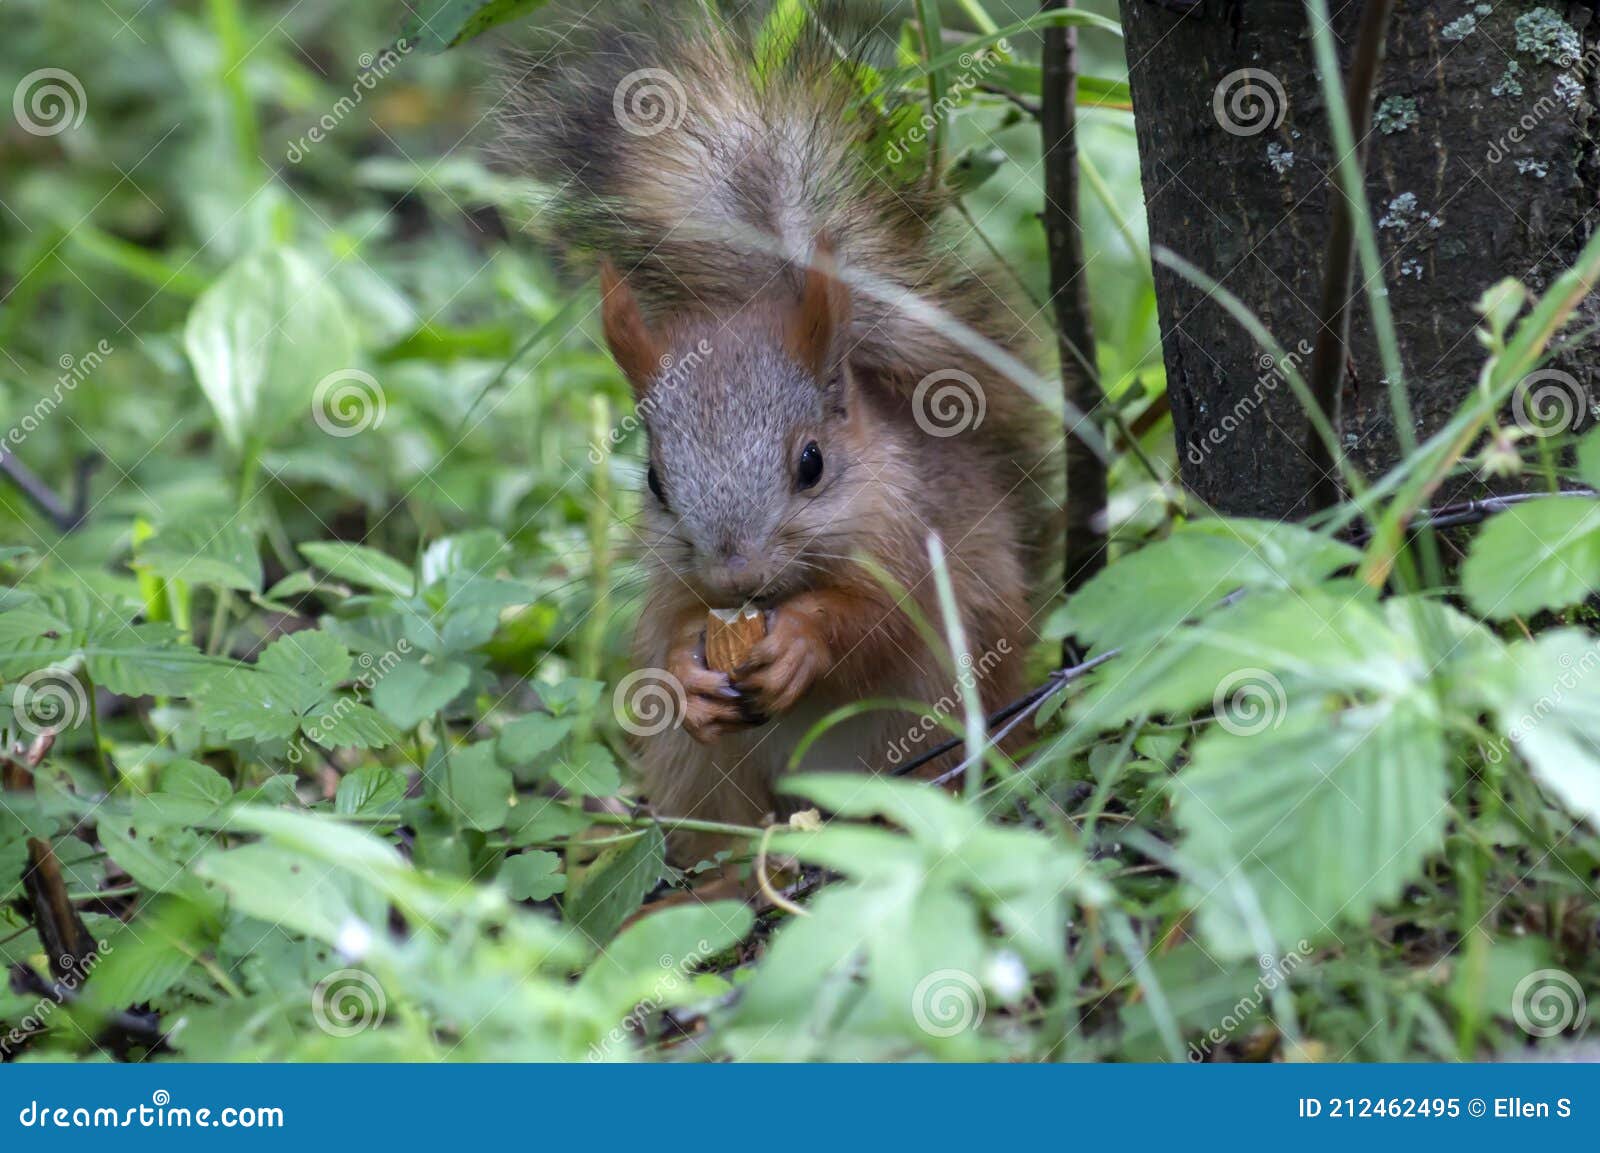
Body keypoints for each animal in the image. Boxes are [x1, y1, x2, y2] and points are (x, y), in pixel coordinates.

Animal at [500, 5, 1057, 862]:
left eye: (812, 462)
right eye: (654, 480)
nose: (736, 575)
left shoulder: (912, 540)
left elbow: (881, 621)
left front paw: (801, 640)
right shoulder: (674, 584)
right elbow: (668, 635)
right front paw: (688, 667)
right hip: (702, 773)